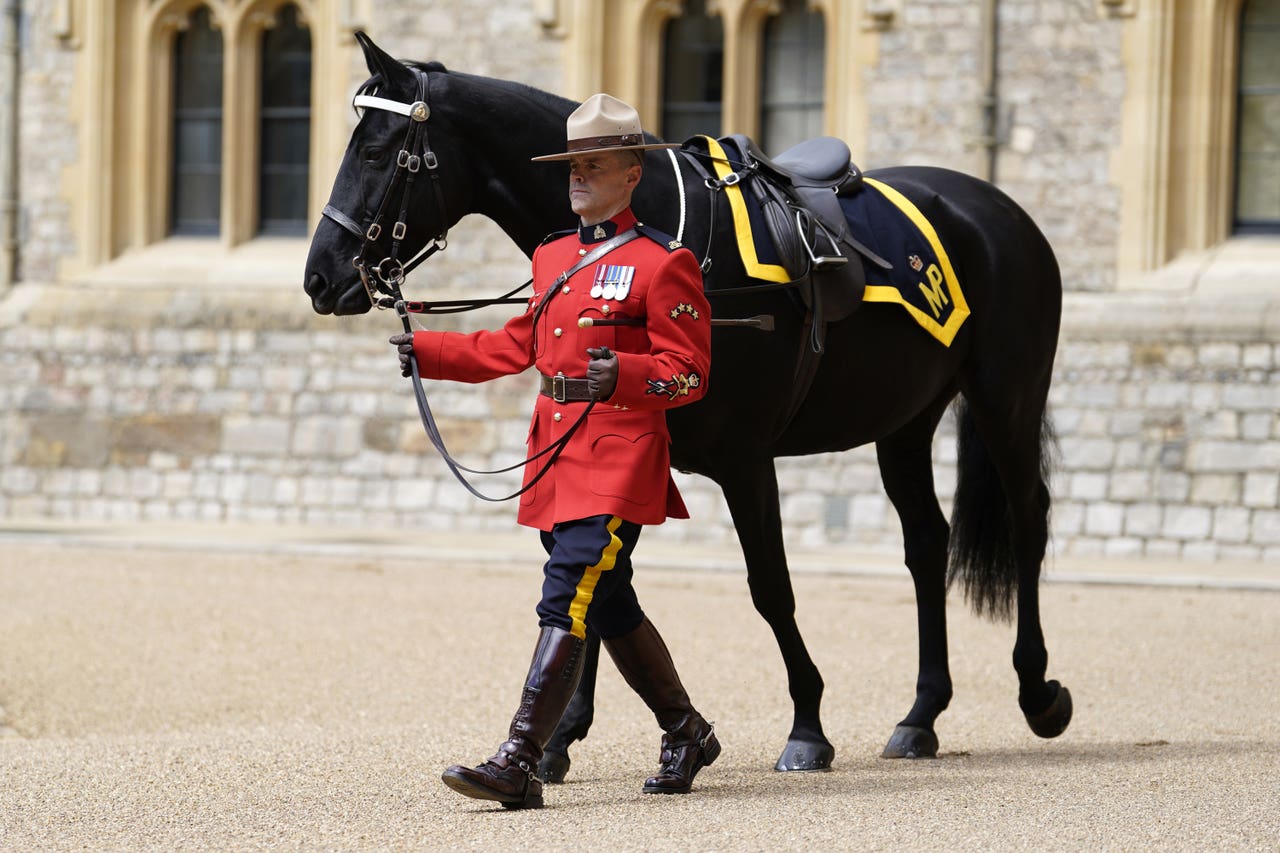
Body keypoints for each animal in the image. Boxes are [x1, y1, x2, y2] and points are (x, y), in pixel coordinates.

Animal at [303, 33, 1072, 777]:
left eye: (375, 152)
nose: (320, 277)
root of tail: (997, 209)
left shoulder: (745, 459)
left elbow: (770, 587)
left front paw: (807, 727)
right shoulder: (636, 461)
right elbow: (603, 588)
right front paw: (560, 739)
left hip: (1005, 399)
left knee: (1028, 519)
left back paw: (1038, 691)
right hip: (904, 422)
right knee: (927, 543)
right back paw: (921, 715)